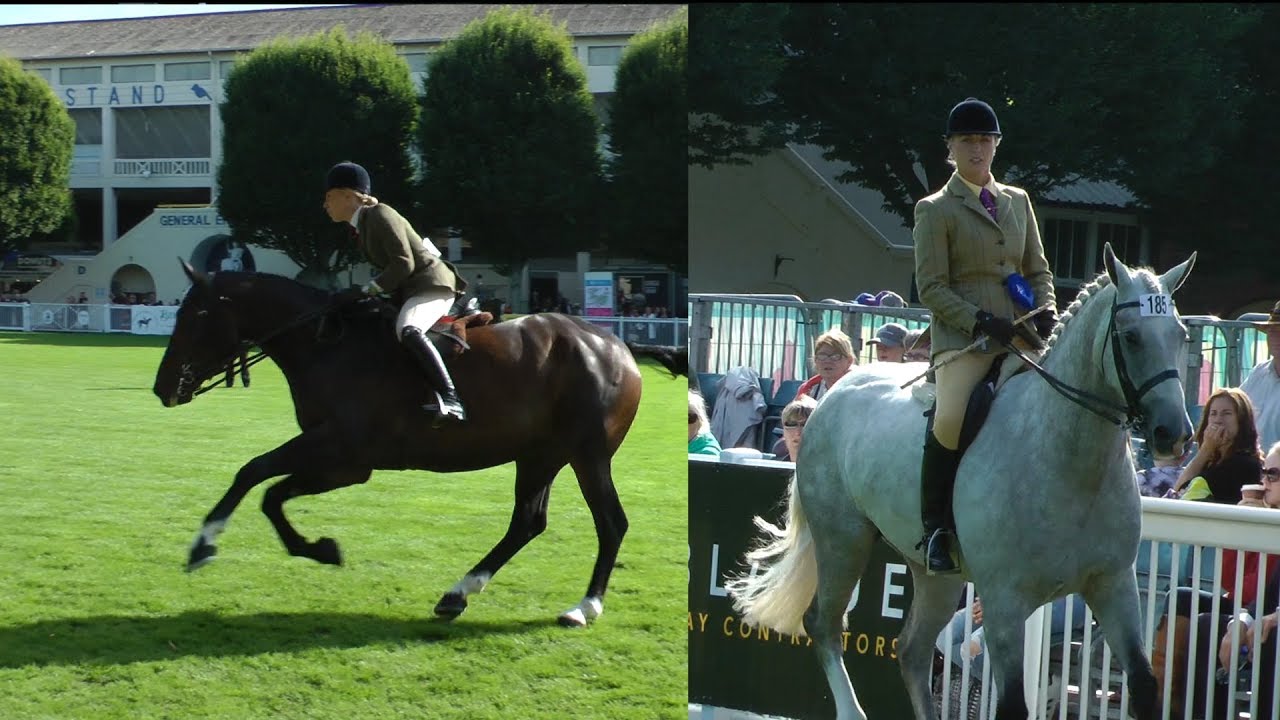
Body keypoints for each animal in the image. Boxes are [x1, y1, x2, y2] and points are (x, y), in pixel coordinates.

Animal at [151, 261, 643, 627]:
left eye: (194, 317)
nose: (162, 388)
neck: (327, 346)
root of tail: (616, 345)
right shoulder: (339, 463)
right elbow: (270, 492)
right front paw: (318, 548)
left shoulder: (343, 453)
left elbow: (254, 473)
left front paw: (204, 544)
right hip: (538, 456)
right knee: (527, 522)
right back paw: (457, 594)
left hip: (587, 455)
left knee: (610, 523)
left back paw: (584, 607)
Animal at [726, 244, 1197, 719]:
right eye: (1131, 336)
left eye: (1181, 335)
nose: (1173, 434)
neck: (1070, 462)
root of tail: (837, 391)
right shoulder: (1005, 602)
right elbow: (1012, 705)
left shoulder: (1115, 586)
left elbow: (1144, 685)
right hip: (842, 540)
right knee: (823, 625)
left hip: (936, 573)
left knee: (912, 650)